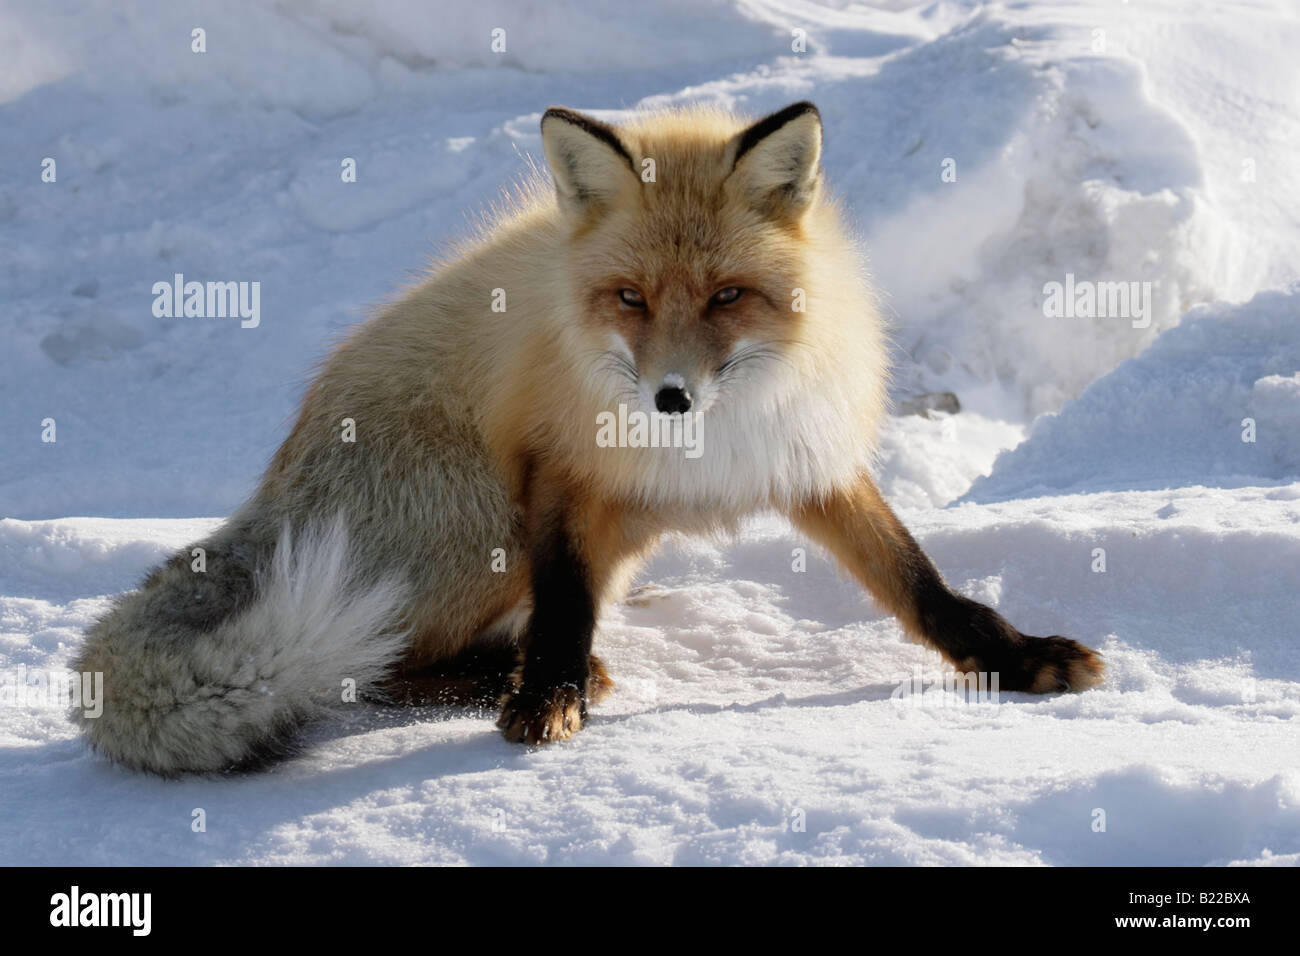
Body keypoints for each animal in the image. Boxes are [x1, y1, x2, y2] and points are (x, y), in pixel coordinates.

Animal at [73, 101, 1104, 775]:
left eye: (729, 296)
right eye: (631, 298)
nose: (672, 399)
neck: (704, 451)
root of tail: (273, 489)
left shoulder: (807, 462)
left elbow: (922, 586)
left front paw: (1017, 657)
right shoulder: (558, 471)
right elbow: (566, 603)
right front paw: (546, 698)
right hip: (475, 523)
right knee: (376, 664)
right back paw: (502, 673)